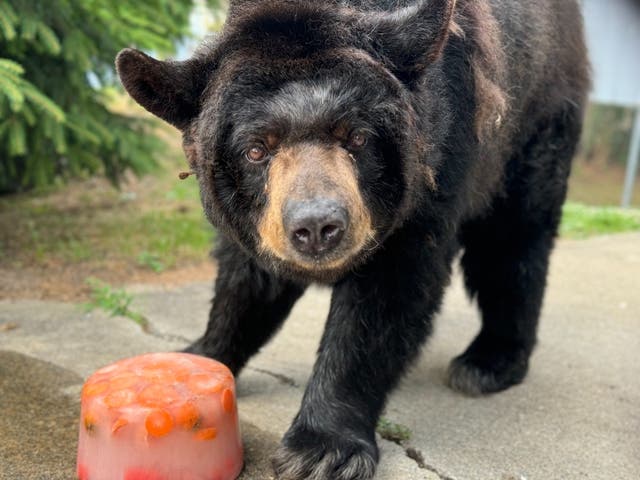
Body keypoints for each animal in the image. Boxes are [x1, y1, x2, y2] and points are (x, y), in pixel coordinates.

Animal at [116, 0, 590, 478]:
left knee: (513, 240)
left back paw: (488, 362)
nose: (317, 227)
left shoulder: (438, 150)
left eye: (357, 137)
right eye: (256, 149)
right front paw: (196, 356)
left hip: (536, 119)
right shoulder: (257, 217)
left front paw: (322, 449)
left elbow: (384, 298)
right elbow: (246, 279)